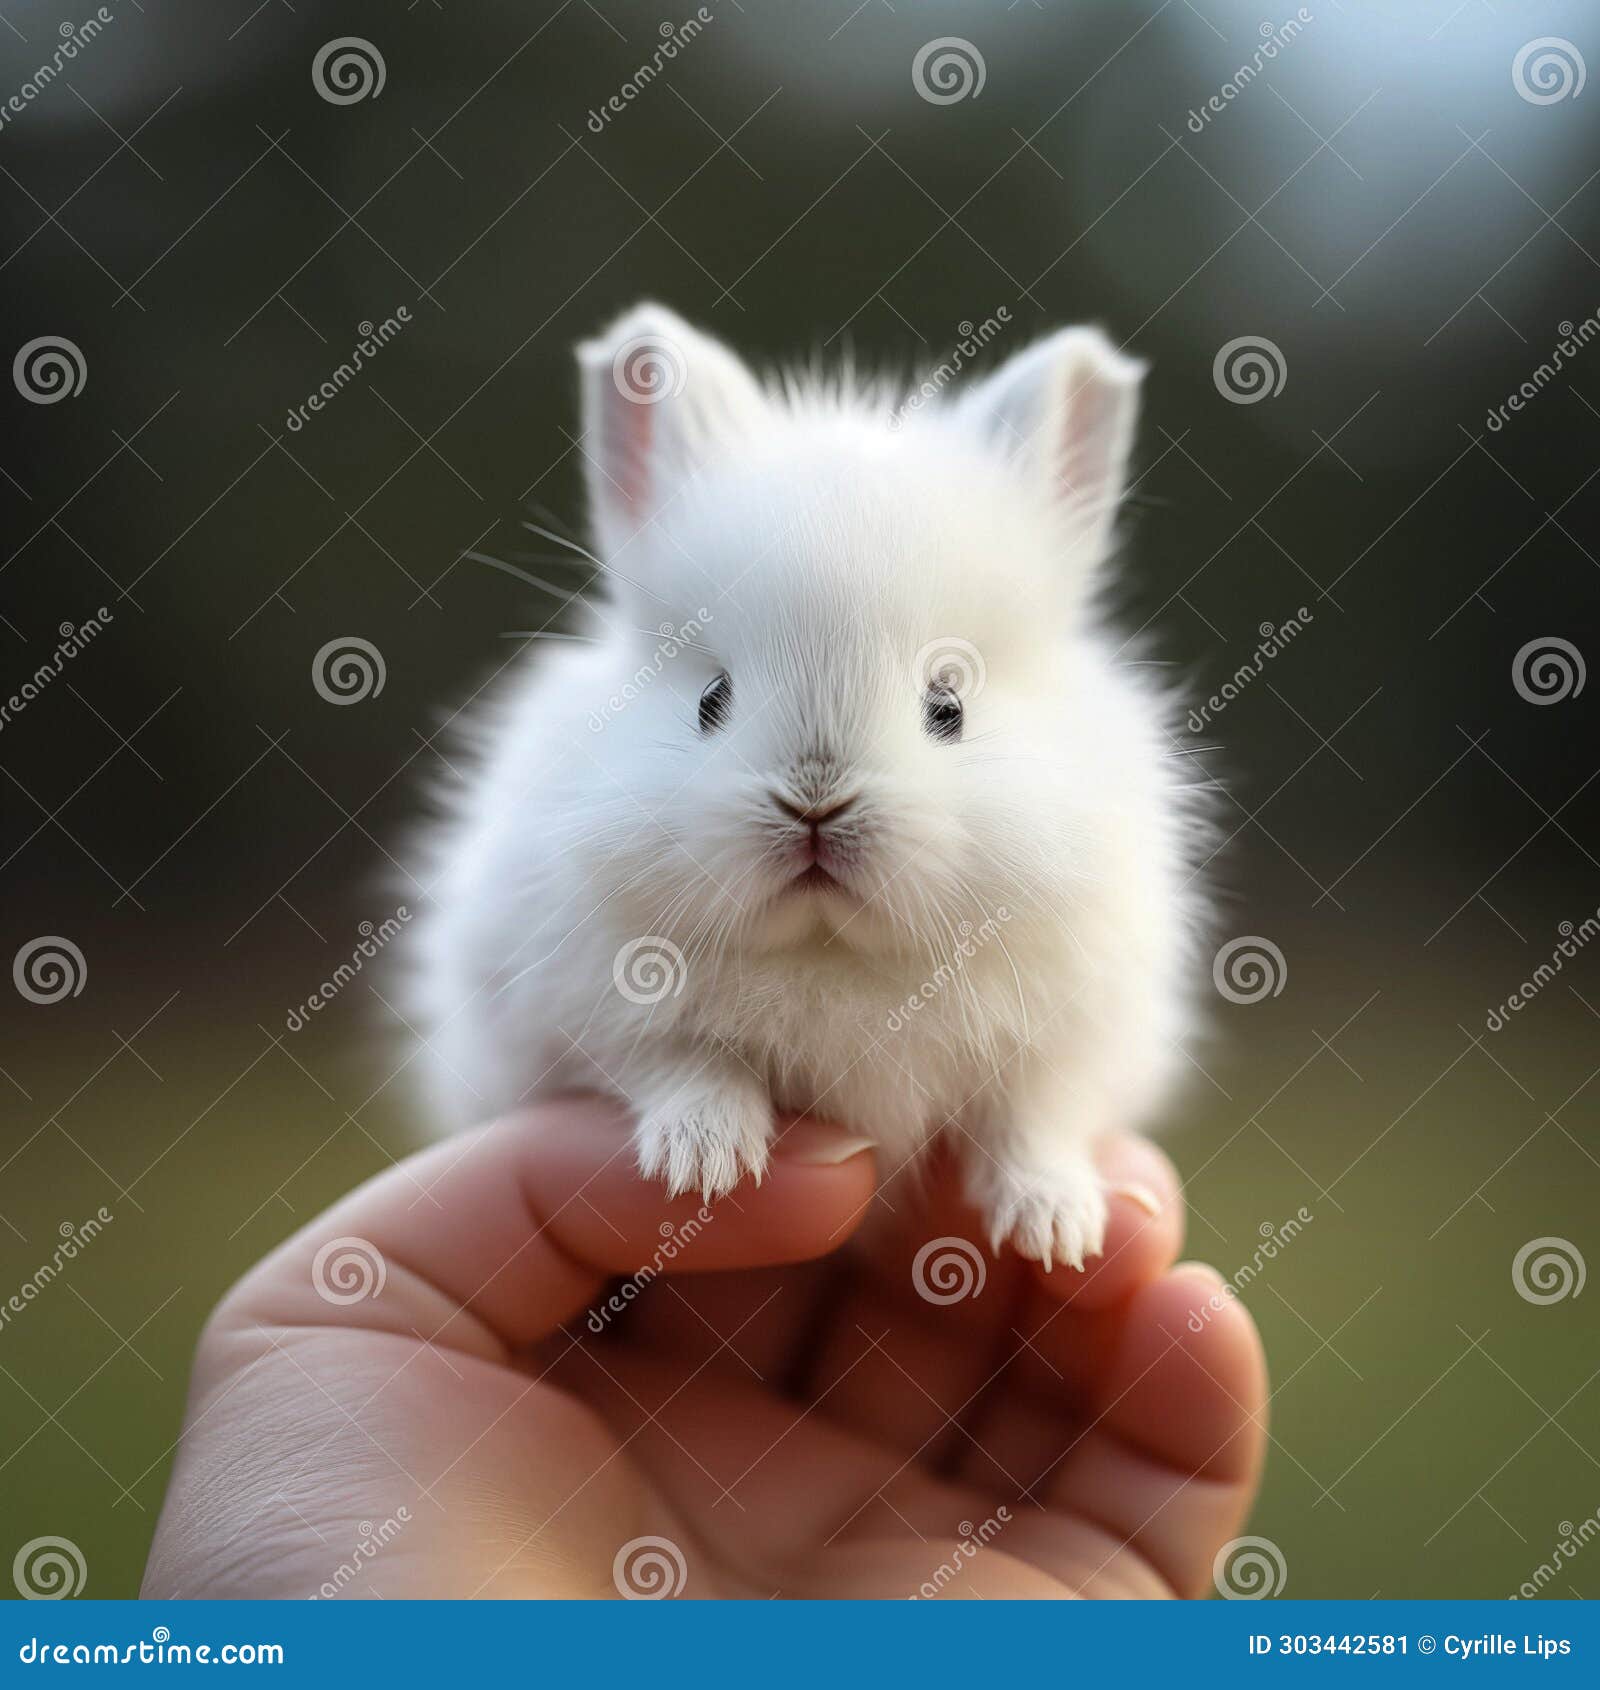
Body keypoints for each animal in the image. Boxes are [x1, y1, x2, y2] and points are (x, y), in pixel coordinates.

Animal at [404, 302, 1208, 1271]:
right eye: (710, 699)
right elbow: (677, 1063)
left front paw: (1056, 1228)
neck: (830, 954)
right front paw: (704, 1161)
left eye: (949, 705)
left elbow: (1038, 1117)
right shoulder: (578, 1013)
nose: (816, 802)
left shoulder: (1076, 1038)